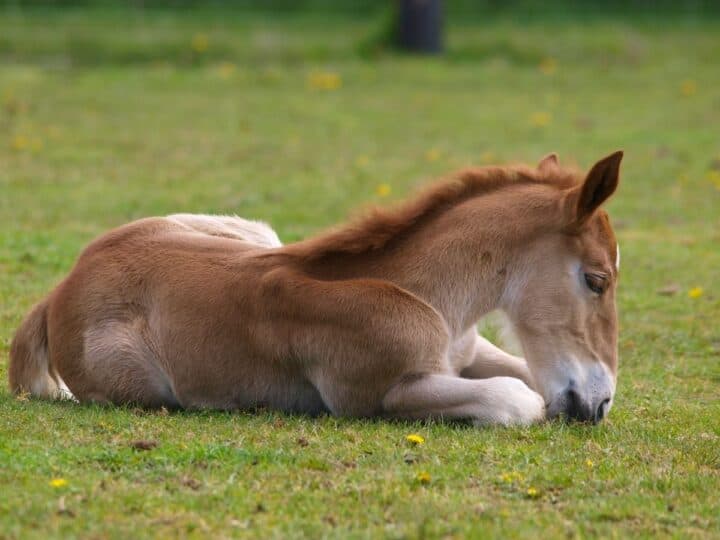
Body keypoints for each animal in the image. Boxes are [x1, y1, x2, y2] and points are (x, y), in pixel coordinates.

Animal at [8, 151, 622, 426]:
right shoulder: (375, 394)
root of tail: (62, 288)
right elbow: (519, 399)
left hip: (253, 230)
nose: (597, 403)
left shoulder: (469, 352)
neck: (429, 296)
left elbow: (522, 377)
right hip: (139, 387)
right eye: (596, 279)